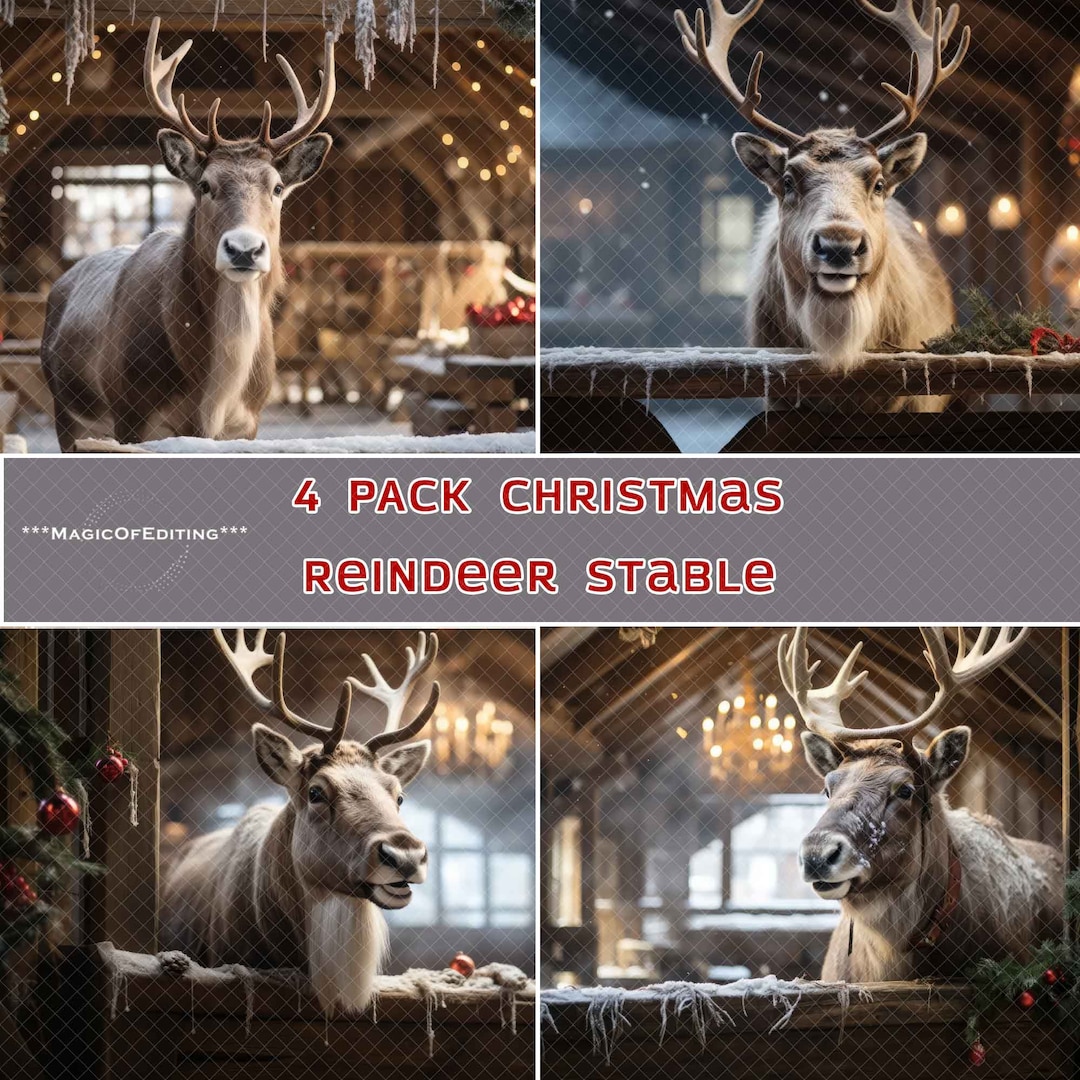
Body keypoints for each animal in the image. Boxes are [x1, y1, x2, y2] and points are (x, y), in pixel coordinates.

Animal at [40, 18, 337, 451]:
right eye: (205, 185)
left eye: (278, 187)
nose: (244, 249)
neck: (210, 400)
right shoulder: (131, 412)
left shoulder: (248, 425)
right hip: (66, 412)